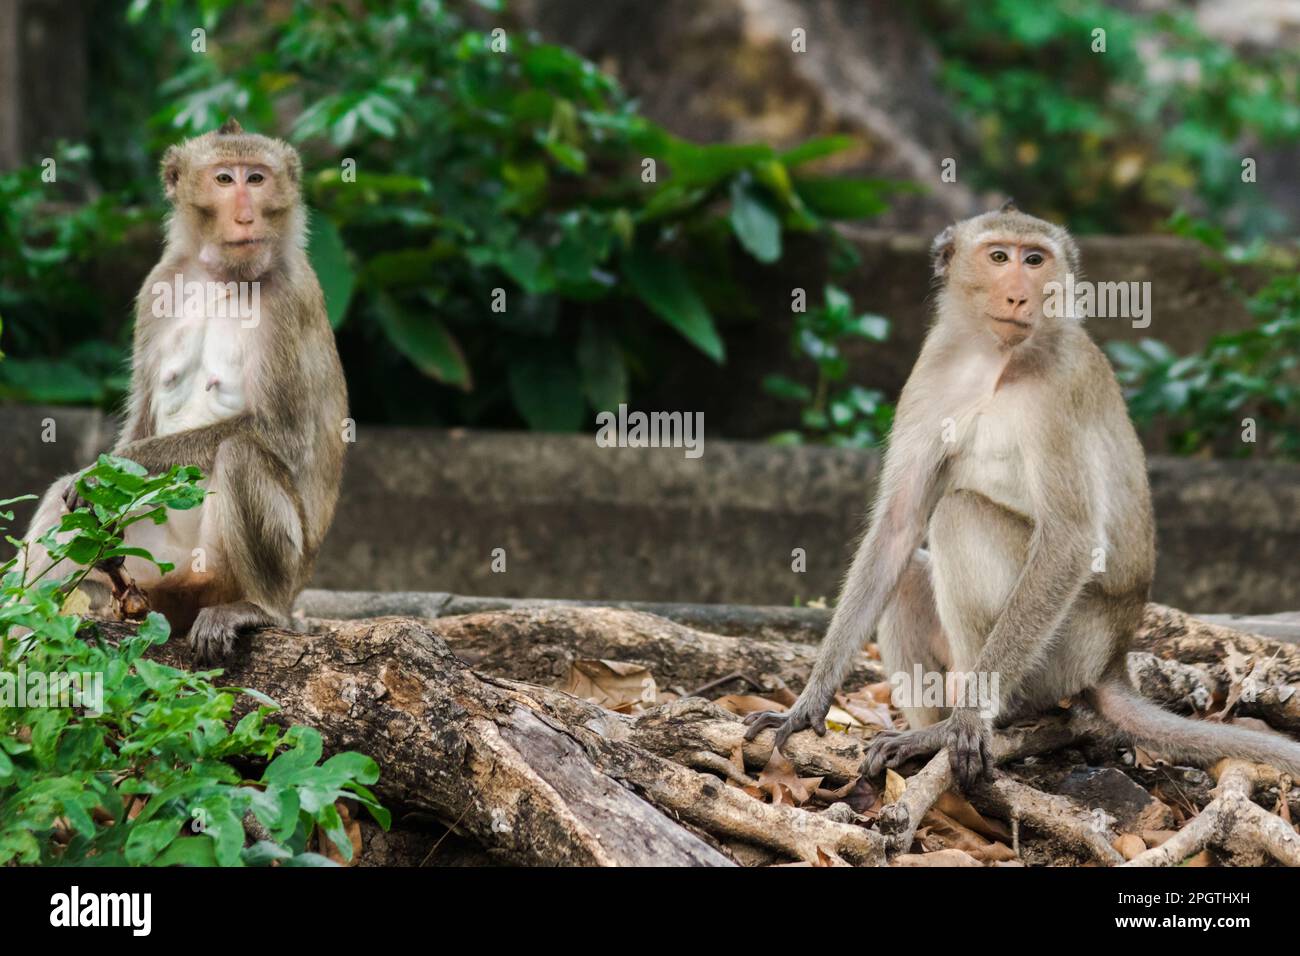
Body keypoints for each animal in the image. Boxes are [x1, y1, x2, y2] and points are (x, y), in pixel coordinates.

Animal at [19, 118, 347, 663]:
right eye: (224, 179)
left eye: (257, 178)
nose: (245, 214)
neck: (223, 276)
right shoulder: (158, 284)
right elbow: (139, 425)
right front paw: (97, 481)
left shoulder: (289, 297)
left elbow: (280, 432)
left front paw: (101, 471)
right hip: (153, 573)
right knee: (59, 504)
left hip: (252, 570)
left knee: (240, 453)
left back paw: (256, 608)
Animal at [744, 203, 1300, 789]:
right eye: (998, 256)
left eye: (1035, 260)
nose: (1018, 295)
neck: (997, 359)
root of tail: (1113, 659)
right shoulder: (932, 370)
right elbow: (898, 522)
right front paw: (808, 703)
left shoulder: (1061, 386)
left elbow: (1069, 539)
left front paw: (965, 723)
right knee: (911, 575)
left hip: (1065, 648)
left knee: (959, 515)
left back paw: (977, 719)